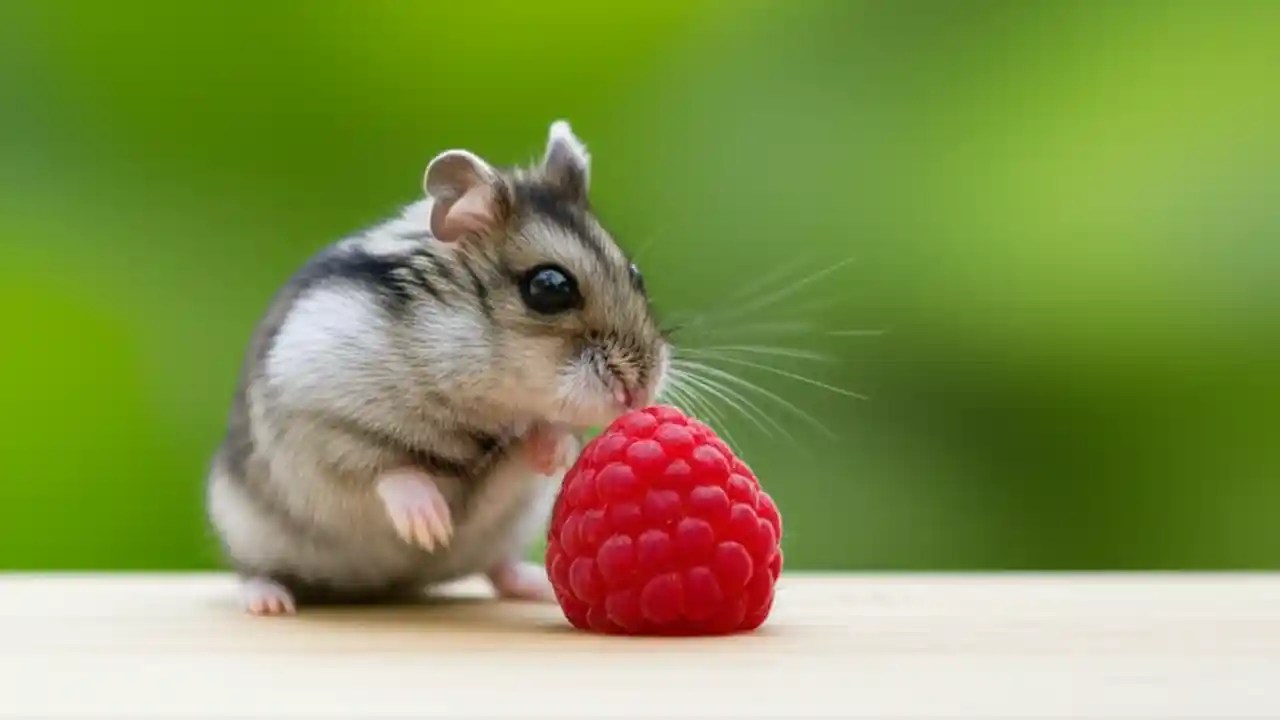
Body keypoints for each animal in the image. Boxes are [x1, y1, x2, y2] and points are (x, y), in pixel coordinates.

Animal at [205, 121, 669, 615]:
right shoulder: (317, 422)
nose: (640, 391)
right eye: (549, 287)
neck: (472, 387)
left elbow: (533, 441)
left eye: (636, 274)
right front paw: (431, 528)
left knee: (497, 567)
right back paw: (269, 601)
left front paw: (556, 452)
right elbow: (386, 470)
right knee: (254, 570)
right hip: (245, 527)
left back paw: (535, 587)